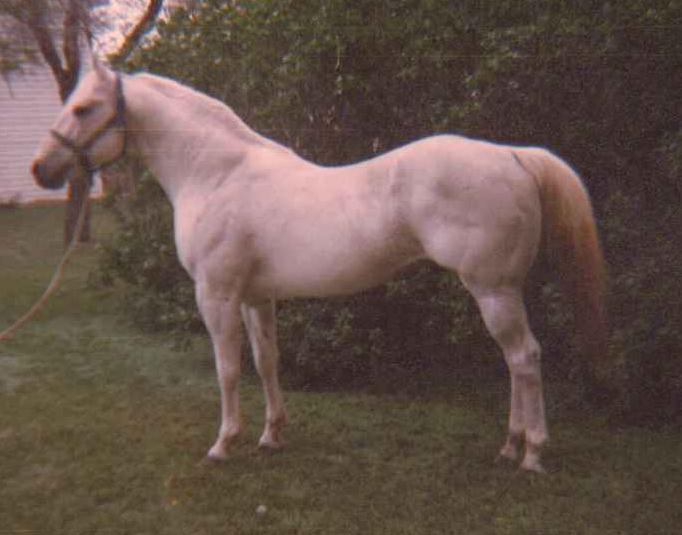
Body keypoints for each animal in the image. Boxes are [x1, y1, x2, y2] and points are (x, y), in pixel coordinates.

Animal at [31, 59, 606, 473]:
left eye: (83, 108)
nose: (41, 170)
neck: (215, 172)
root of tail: (512, 154)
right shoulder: (256, 296)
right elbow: (266, 361)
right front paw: (271, 436)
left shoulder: (216, 295)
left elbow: (227, 368)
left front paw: (224, 444)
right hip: (500, 290)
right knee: (514, 362)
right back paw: (509, 446)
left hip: (493, 290)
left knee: (525, 358)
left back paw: (531, 453)